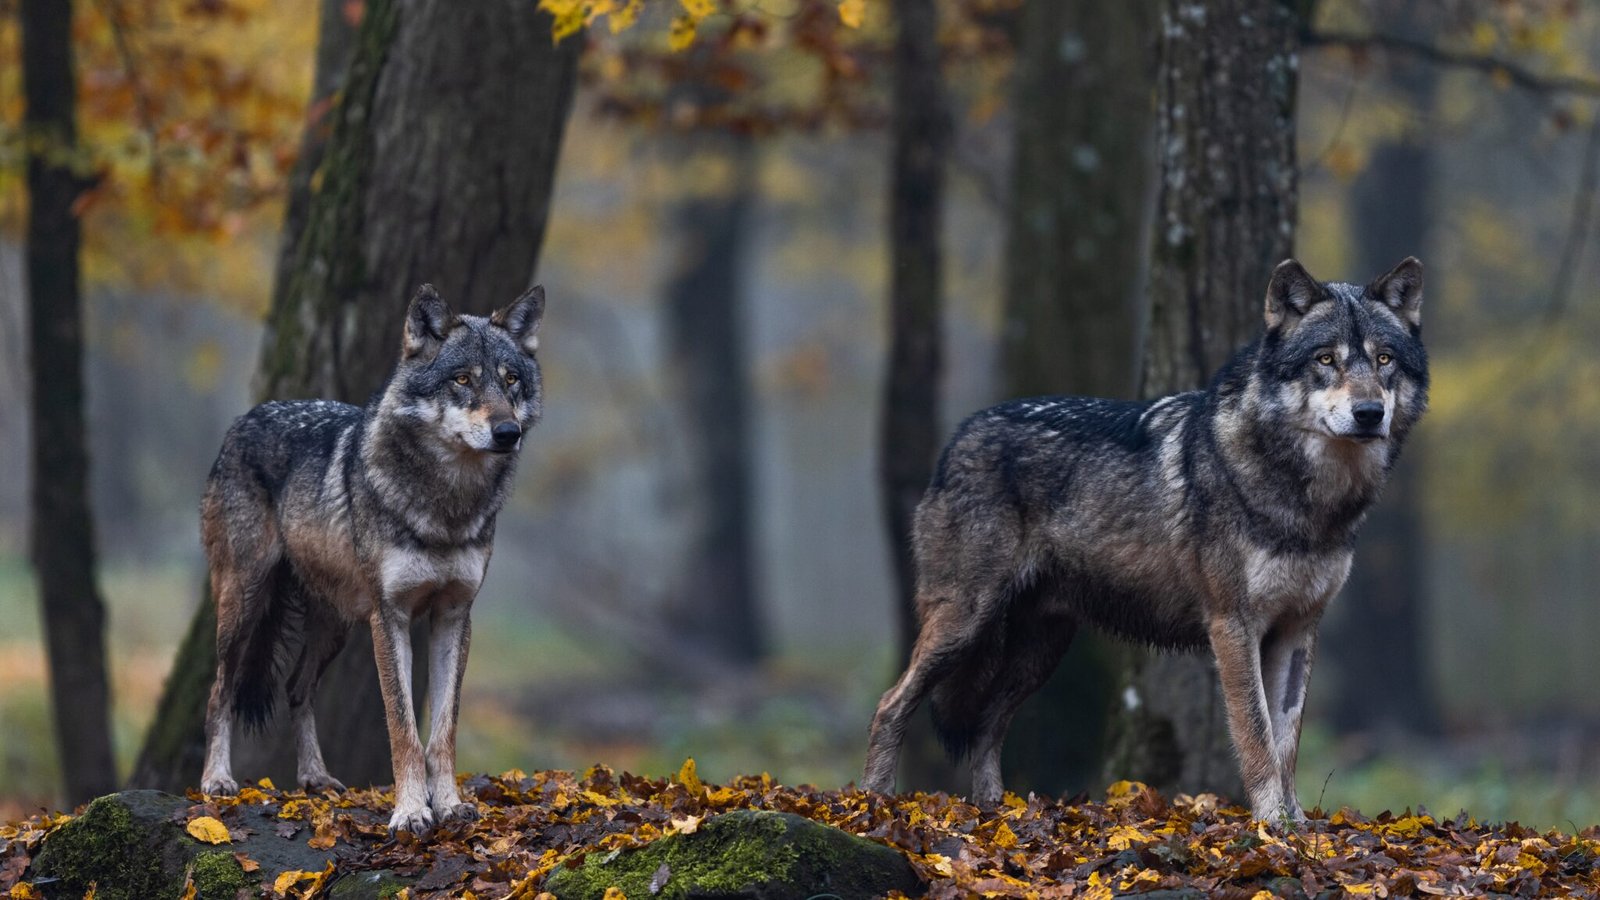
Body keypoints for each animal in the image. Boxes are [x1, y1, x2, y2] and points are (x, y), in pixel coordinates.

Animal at [198, 283, 544, 834]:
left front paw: (449, 805)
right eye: (463, 379)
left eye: (510, 379)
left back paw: (315, 779)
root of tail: (246, 417)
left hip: (334, 626)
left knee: (296, 690)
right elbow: (402, 727)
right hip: (244, 603)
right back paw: (217, 780)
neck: (445, 505)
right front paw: (410, 812)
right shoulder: (391, 616)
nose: (507, 432)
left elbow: (442, 731)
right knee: (219, 692)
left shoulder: (453, 616)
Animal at [861, 258, 1428, 822]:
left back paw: (998, 813)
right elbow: (1257, 738)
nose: (1369, 413)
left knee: (985, 725)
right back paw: (875, 802)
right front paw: (1271, 825)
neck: (1310, 501)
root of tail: (959, 436)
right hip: (966, 623)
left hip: (1040, 650)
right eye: (1326, 359)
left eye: (1384, 359)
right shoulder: (1233, 625)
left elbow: (1287, 743)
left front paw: (1298, 825)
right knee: (891, 703)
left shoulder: (1298, 629)